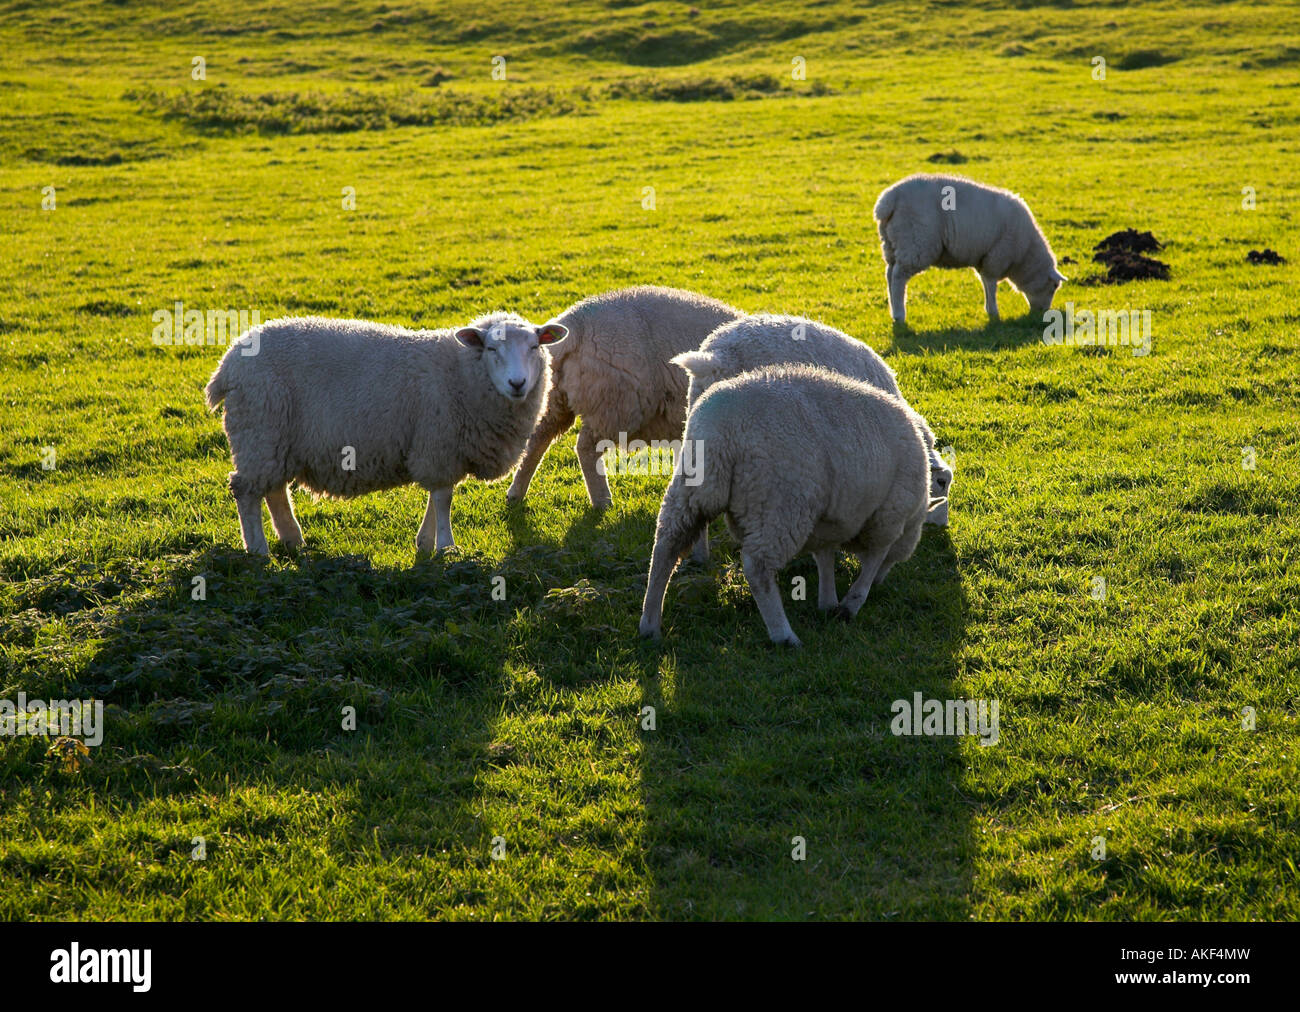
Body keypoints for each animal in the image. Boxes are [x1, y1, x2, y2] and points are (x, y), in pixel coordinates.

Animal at [204, 313, 567, 555]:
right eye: (491, 349)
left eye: (535, 346)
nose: (517, 383)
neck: (461, 371)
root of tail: (227, 365)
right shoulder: (440, 445)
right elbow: (443, 498)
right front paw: (446, 548)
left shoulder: (439, 449)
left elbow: (437, 497)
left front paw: (425, 543)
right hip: (259, 429)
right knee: (246, 491)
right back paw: (258, 549)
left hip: (274, 440)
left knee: (275, 490)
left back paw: (293, 540)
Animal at [506, 285, 744, 510]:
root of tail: (575, 324)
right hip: (615, 403)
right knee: (586, 448)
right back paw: (602, 501)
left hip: (555, 398)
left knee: (538, 438)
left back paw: (516, 493)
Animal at [639, 364, 930, 648]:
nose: (882, 583)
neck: (914, 520)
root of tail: (723, 431)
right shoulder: (888, 518)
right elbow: (872, 561)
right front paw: (851, 604)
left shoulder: (827, 522)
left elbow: (825, 557)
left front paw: (828, 602)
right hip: (781, 502)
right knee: (757, 567)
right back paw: (784, 635)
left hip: (692, 489)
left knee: (666, 545)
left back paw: (650, 624)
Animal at [873, 173, 1066, 325]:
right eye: (1054, 286)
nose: (1043, 313)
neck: (1025, 254)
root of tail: (889, 200)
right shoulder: (997, 256)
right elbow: (991, 285)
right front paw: (994, 313)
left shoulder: (985, 259)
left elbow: (985, 283)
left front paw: (989, 310)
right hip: (915, 243)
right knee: (898, 278)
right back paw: (900, 315)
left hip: (892, 244)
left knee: (889, 274)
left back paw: (893, 311)